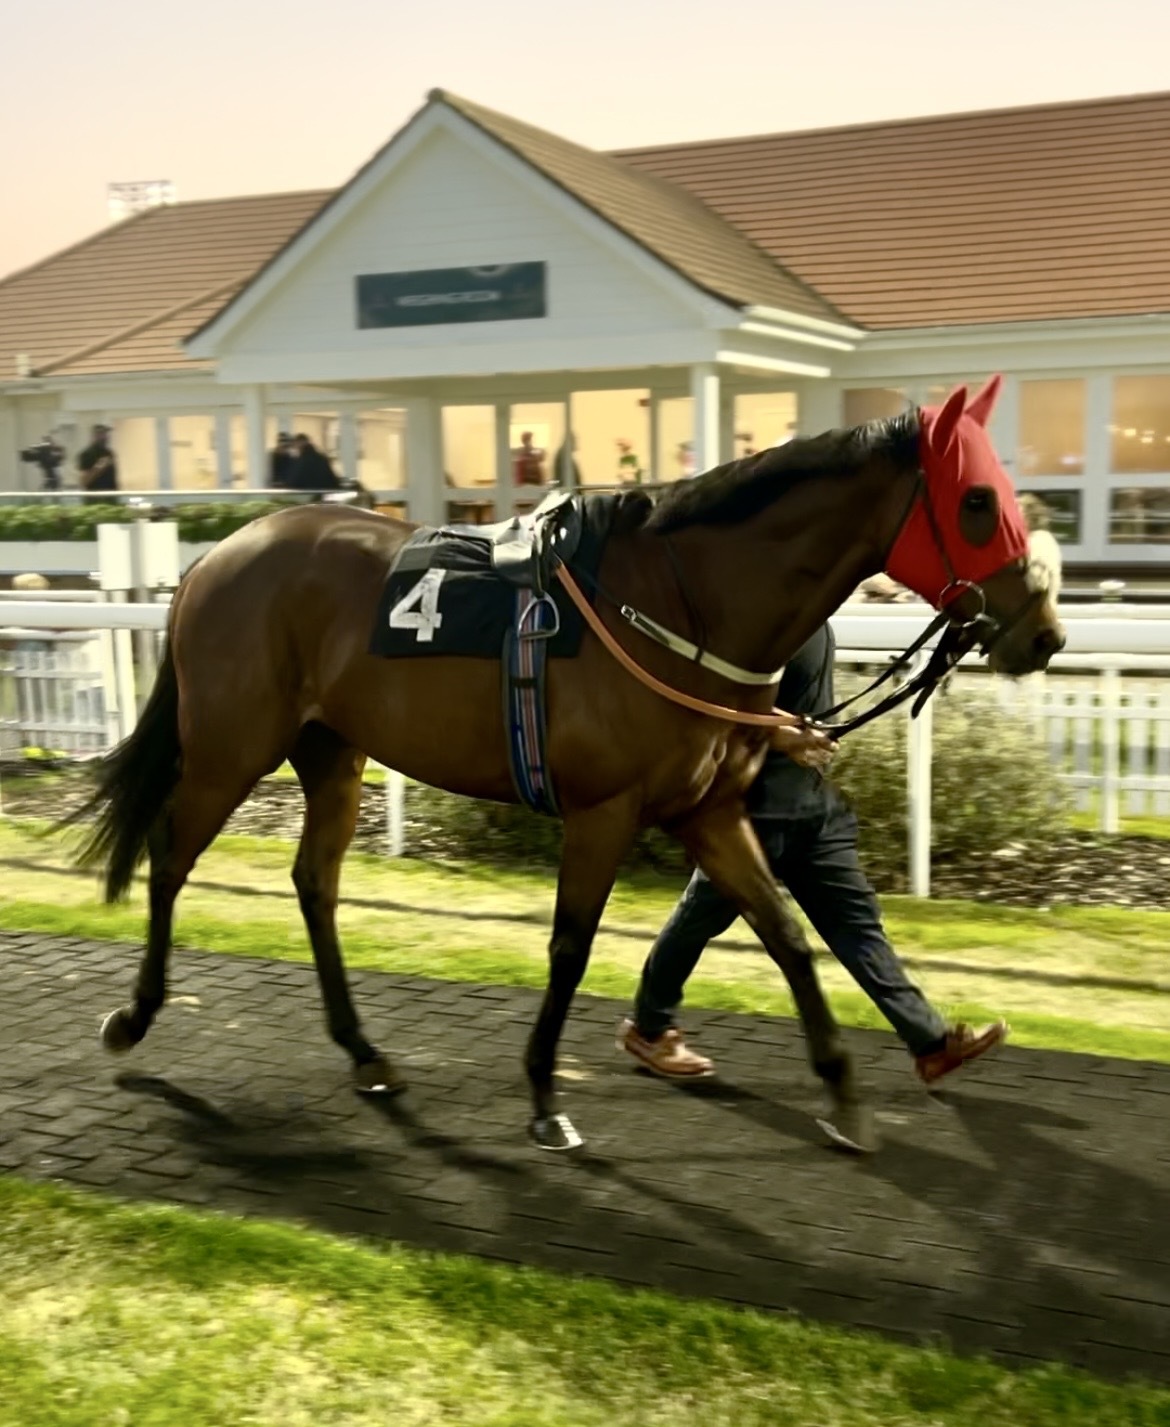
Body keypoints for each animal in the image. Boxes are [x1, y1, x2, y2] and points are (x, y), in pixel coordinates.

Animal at [68, 377, 1064, 1154]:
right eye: (978, 500)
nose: (1044, 632)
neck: (683, 604)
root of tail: (212, 559)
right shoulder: (603, 808)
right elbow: (571, 945)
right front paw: (546, 1094)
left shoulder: (709, 809)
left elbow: (784, 931)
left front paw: (847, 1093)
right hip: (233, 743)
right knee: (171, 852)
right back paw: (133, 1016)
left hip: (332, 752)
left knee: (314, 881)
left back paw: (365, 1051)